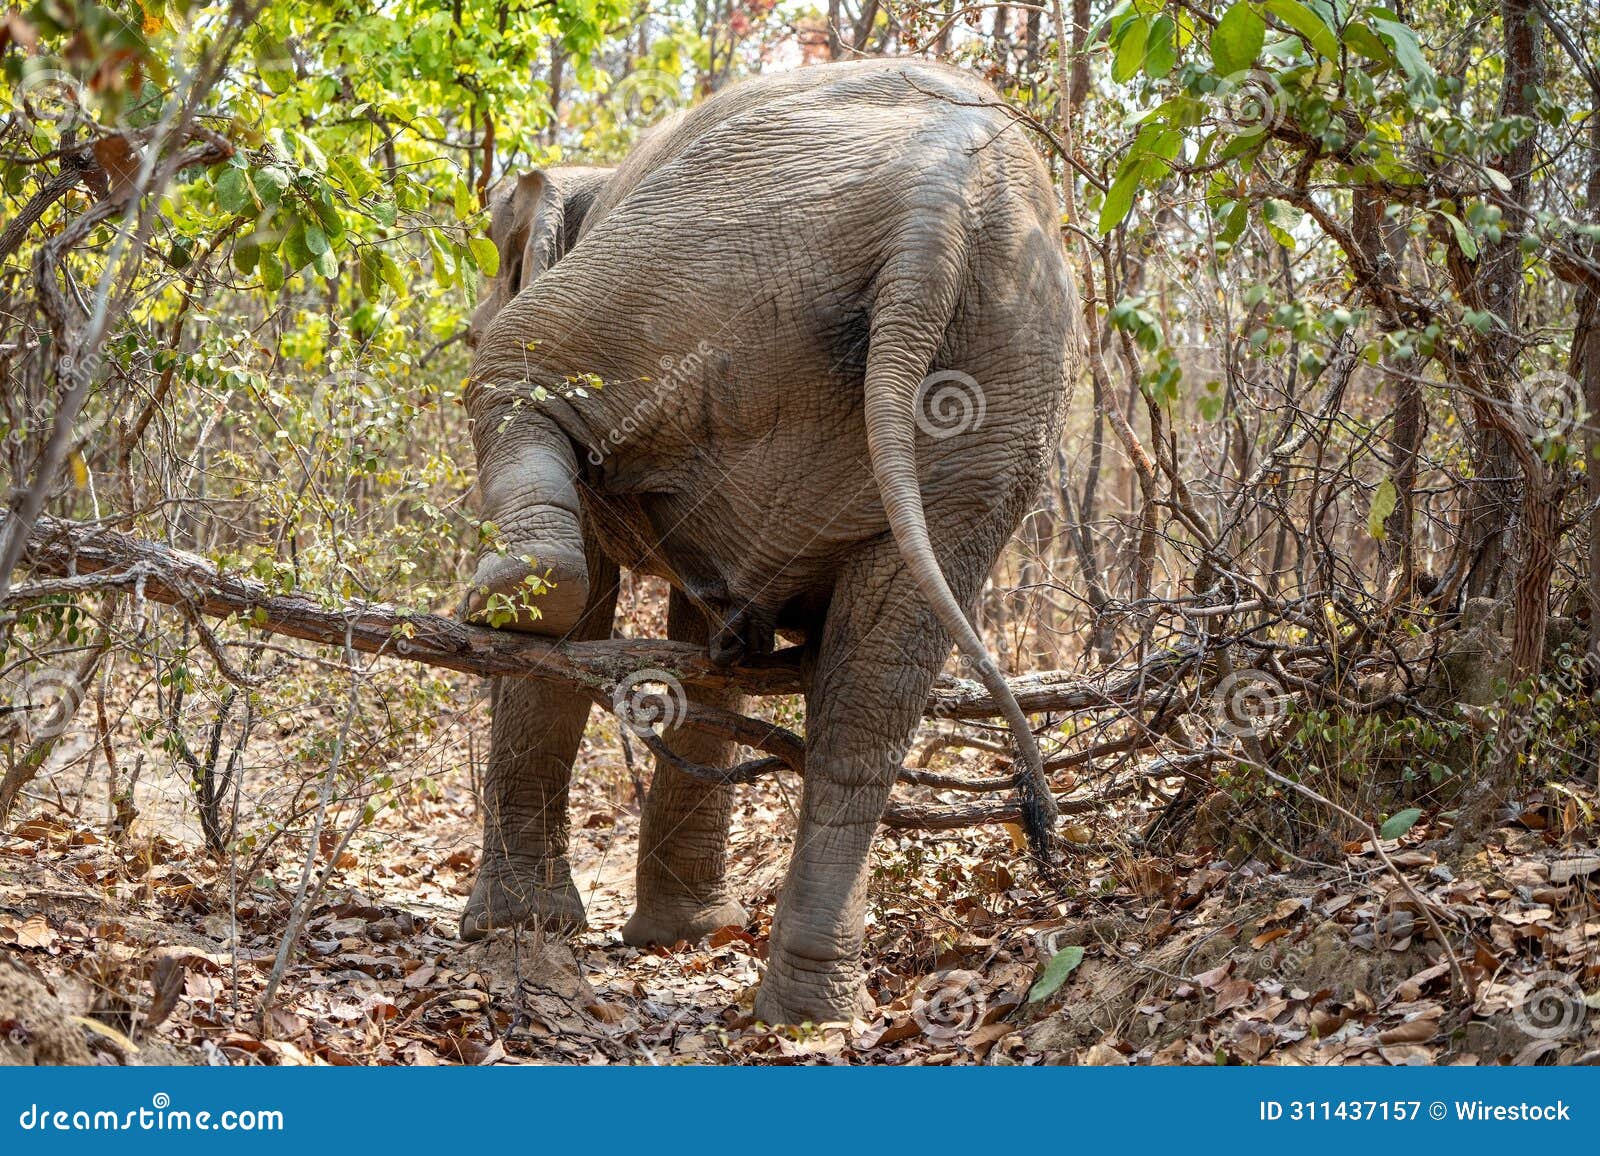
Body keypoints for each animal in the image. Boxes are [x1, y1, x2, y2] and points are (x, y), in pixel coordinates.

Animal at [457, 58, 1082, 1025]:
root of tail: (940, 203)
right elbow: (705, 645)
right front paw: (677, 938)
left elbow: (594, 616)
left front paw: (513, 931)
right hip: (995, 400)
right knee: (871, 699)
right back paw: (810, 1010)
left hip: (690, 267)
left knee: (518, 371)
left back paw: (510, 598)